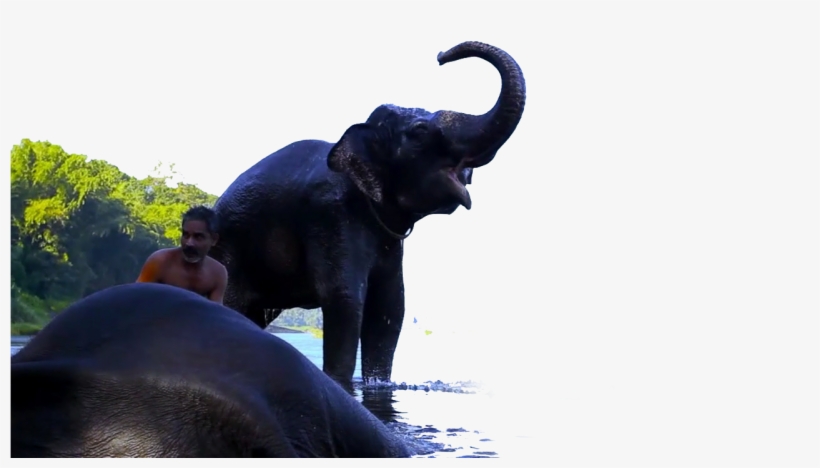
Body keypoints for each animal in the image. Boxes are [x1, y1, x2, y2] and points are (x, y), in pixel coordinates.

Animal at [209, 40, 527, 391]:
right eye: (419, 131)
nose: (441, 56)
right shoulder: (331, 216)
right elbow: (345, 298)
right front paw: (340, 384)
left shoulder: (388, 238)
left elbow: (390, 308)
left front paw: (378, 383)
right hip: (228, 251)